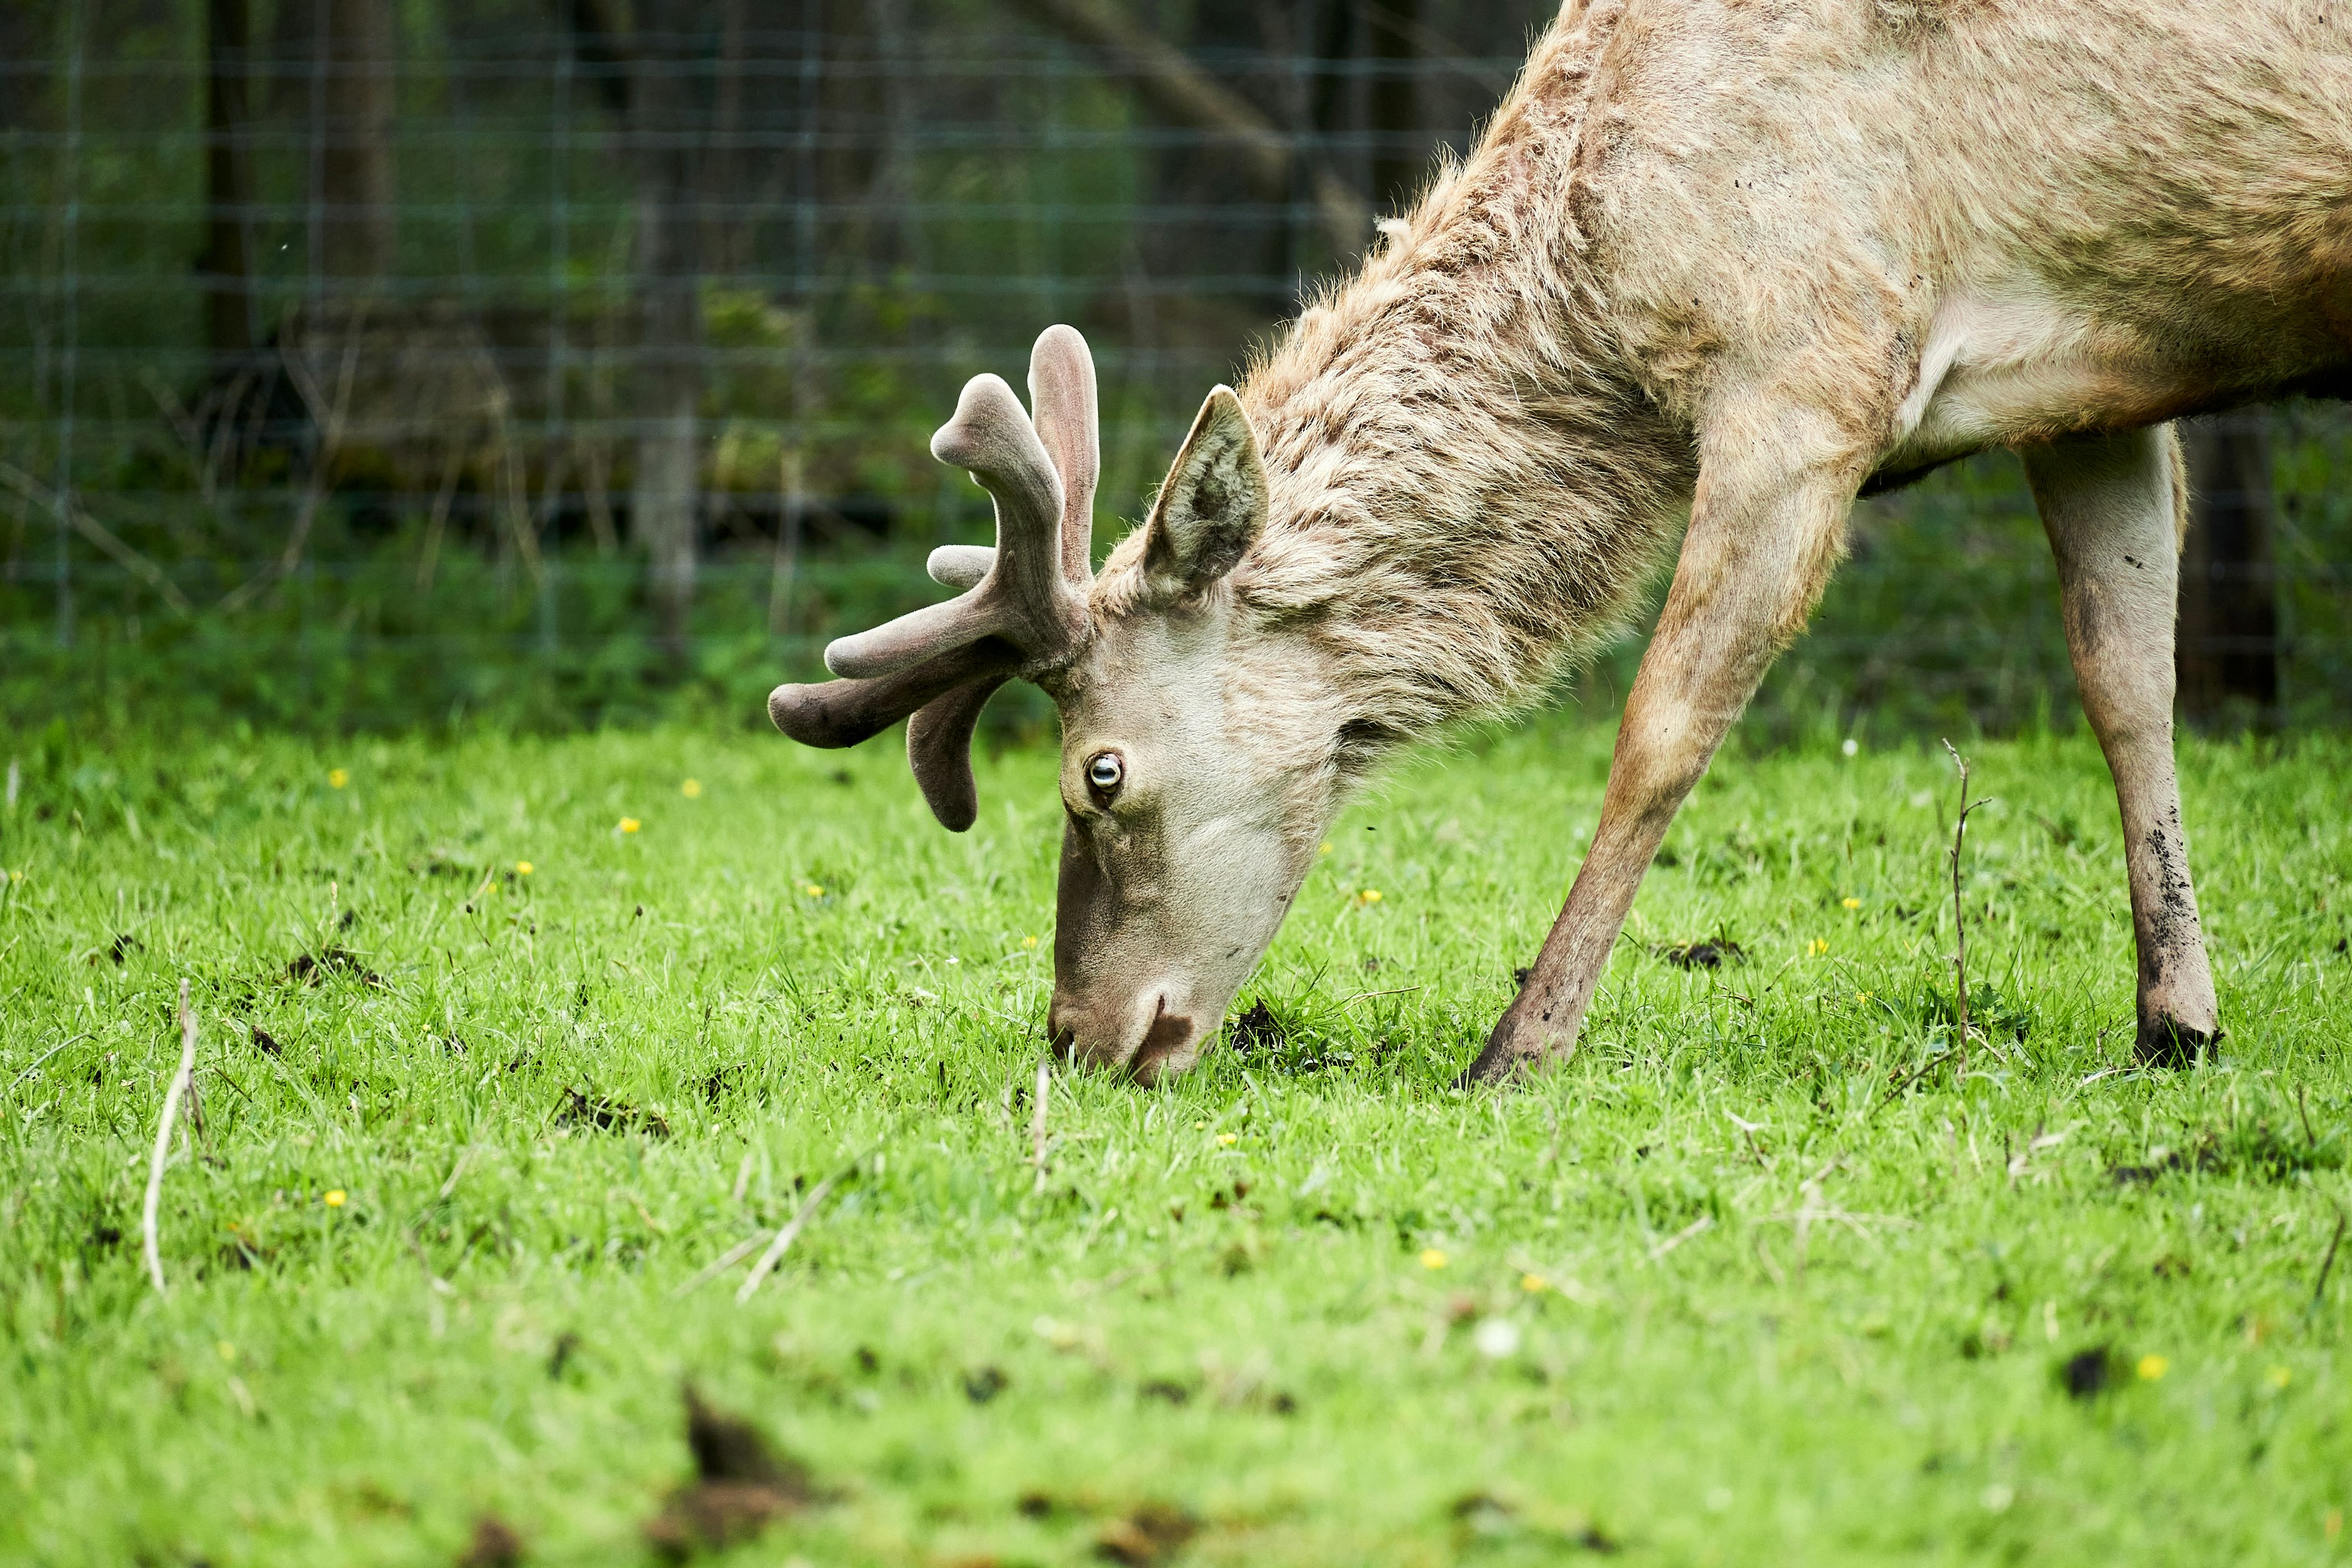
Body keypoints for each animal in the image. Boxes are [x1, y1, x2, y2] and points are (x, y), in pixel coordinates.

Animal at [770, 0, 2352, 1084]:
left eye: (1097, 773)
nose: (1082, 1034)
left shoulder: (1809, 371)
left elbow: (1660, 726)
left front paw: (1516, 1044)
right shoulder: (2090, 371)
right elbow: (2126, 679)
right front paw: (2176, 1020)